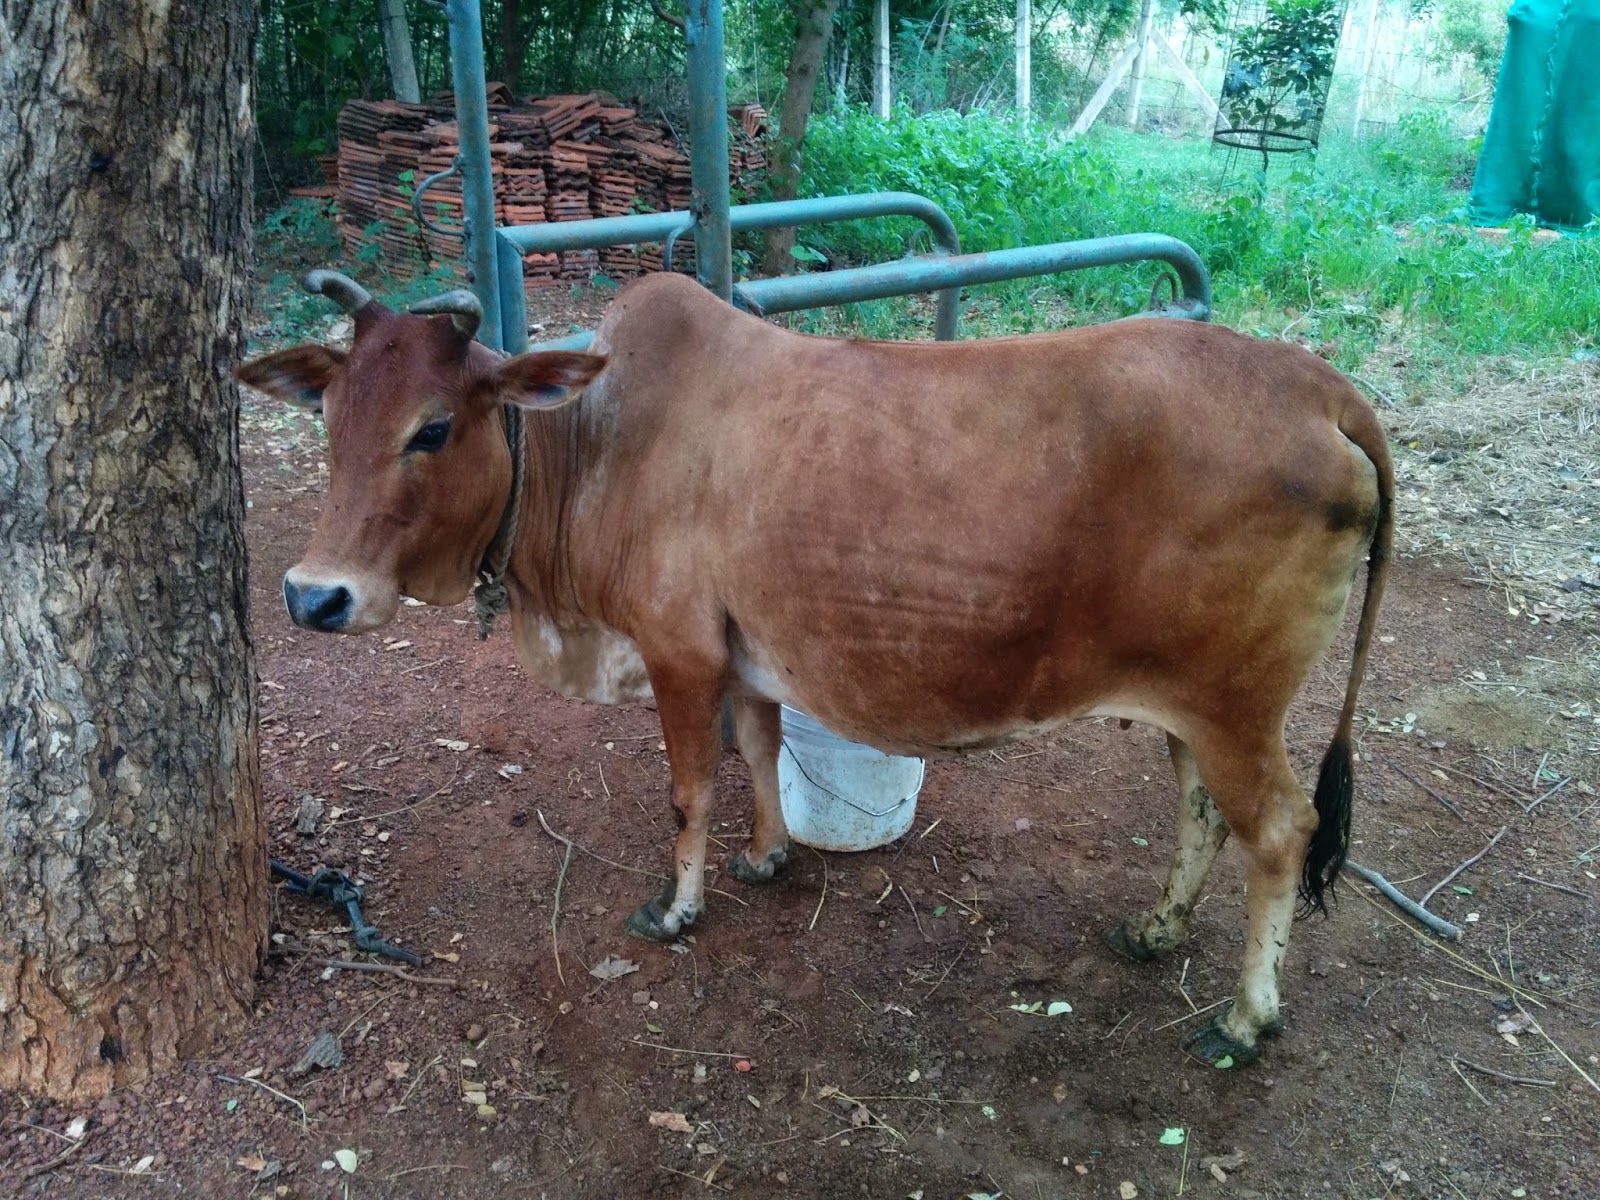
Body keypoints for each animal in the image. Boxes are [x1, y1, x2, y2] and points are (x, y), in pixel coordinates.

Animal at [238, 267, 1393, 1066]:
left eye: (432, 429)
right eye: (328, 419)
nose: (313, 595)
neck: (594, 447)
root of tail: (1318, 384)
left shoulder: (679, 651)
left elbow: (688, 789)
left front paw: (678, 909)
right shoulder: (748, 659)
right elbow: (757, 753)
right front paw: (767, 856)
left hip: (1238, 705)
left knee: (1280, 832)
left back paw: (1244, 1019)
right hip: (1193, 703)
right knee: (1201, 811)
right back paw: (1154, 930)